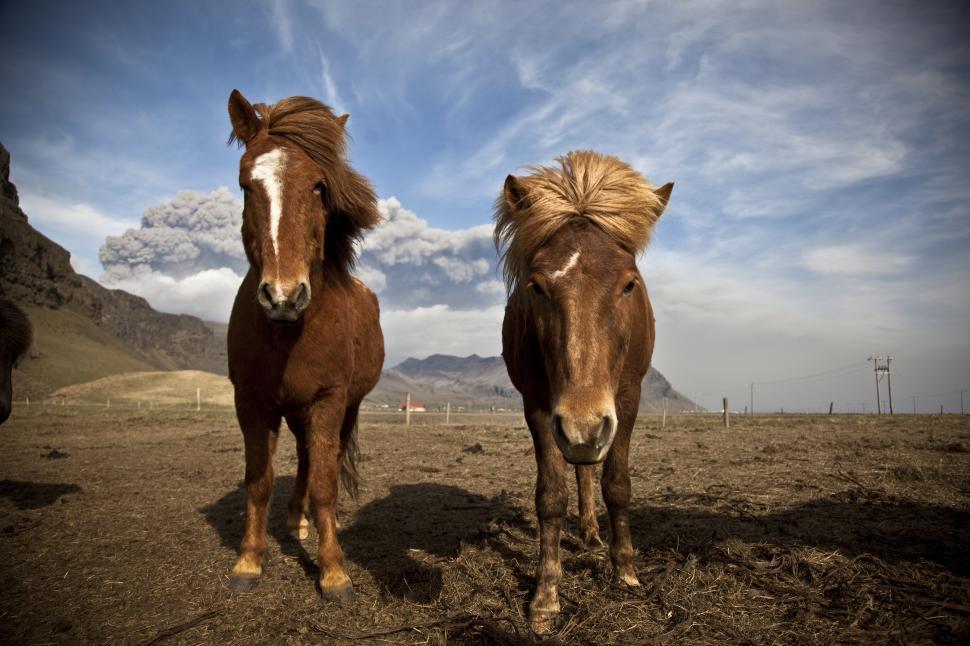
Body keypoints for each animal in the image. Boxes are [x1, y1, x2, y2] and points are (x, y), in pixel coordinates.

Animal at [225, 90, 384, 603]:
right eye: (245, 185)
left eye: (317, 186)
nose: (283, 297)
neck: (289, 334)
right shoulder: (252, 402)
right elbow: (259, 480)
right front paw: (249, 560)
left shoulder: (329, 400)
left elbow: (325, 484)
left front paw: (334, 571)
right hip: (294, 410)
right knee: (302, 459)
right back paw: (296, 522)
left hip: (344, 407)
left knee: (322, 461)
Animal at [494, 151, 673, 633]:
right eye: (536, 286)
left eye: (629, 284)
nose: (582, 425)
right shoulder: (539, 406)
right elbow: (551, 495)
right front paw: (545, 595)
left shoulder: (627, 399)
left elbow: (617, 484)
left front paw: (625, 571)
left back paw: (593, 532)